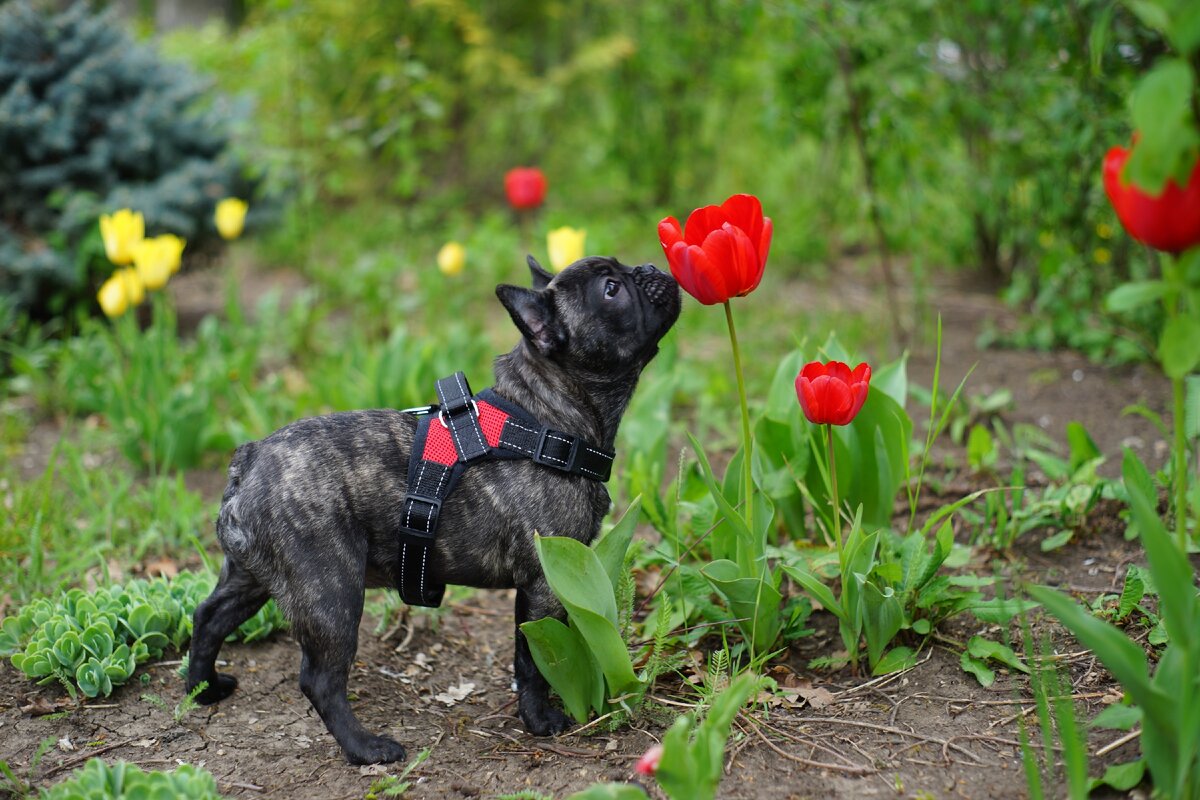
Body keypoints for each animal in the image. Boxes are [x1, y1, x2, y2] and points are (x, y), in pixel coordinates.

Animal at [183, 255, 681, 762]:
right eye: (611, 289)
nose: (649, 266)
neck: (546, 420)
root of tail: (250, 459)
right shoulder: (543, 584)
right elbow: (533, 657)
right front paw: (541, 719)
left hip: (254, 575)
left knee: (209, 617)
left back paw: (204, 689)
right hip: (329, 594)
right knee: (320, 680)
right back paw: (366, 748)